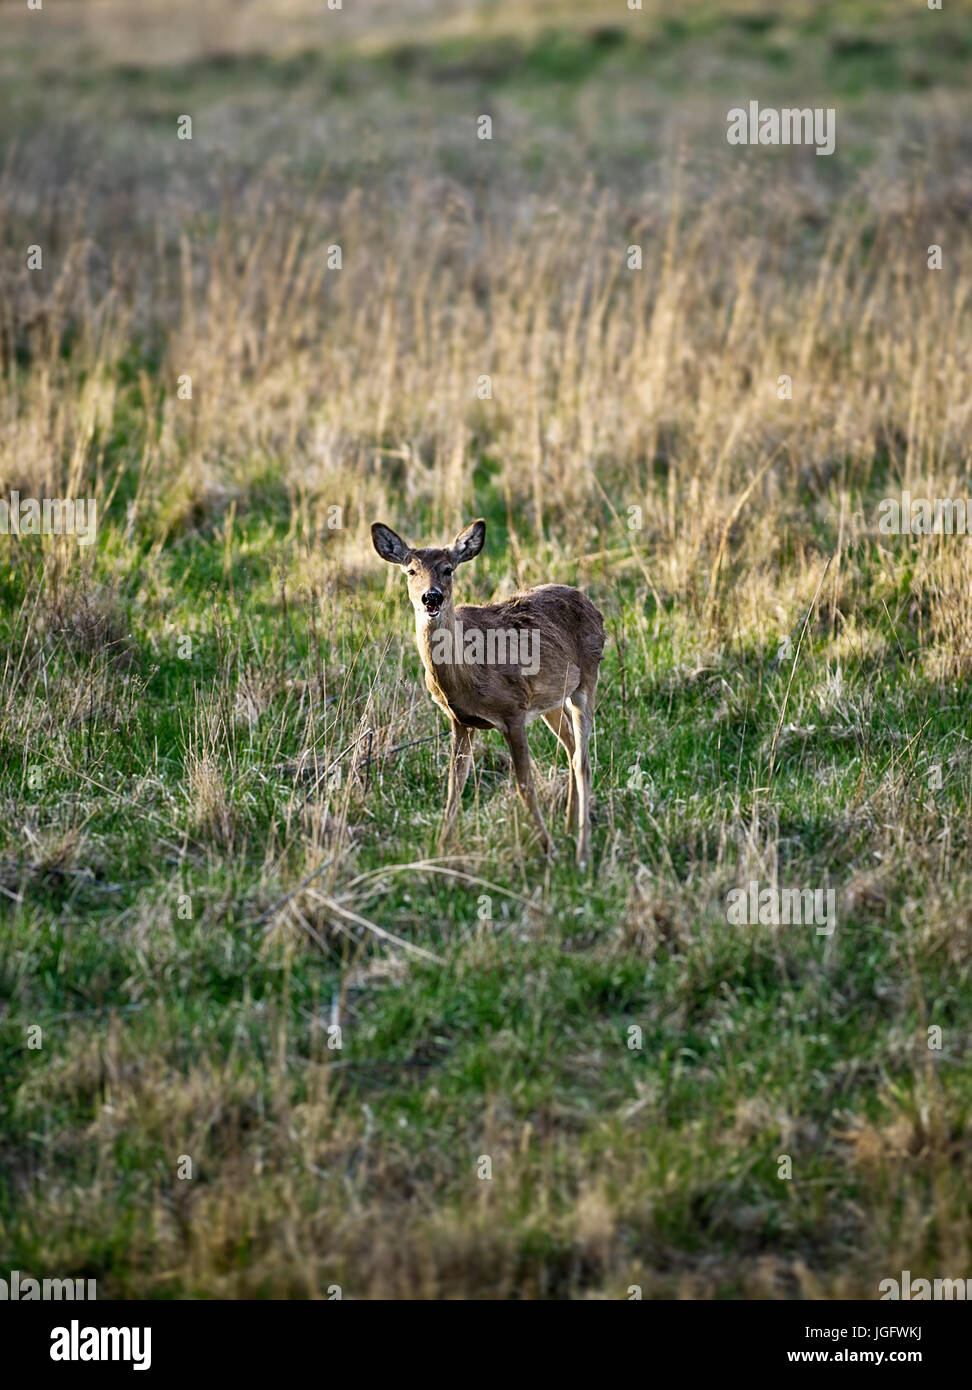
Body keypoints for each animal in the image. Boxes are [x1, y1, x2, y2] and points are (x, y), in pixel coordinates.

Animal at [372, 518, 605, 868]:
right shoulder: (458, 720)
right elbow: (454, 786)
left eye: (448, 569)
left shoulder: (513, 711)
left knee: (583, 760)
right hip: (551, 698)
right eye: (411, 570)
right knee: (570, 744)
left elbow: (524, 786)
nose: (431, 597)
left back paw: (582, 852)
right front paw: (443, 849)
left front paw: (547, 850)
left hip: (587, 680)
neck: (465, 674)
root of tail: (594, 606)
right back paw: (567, 827)